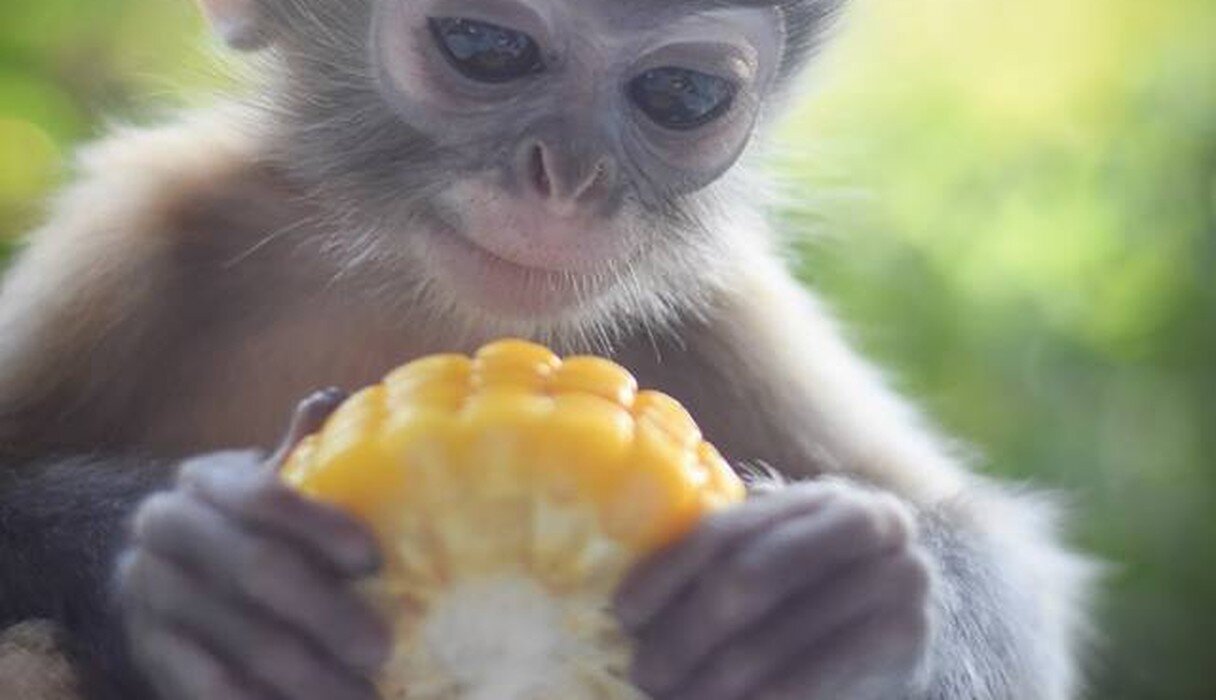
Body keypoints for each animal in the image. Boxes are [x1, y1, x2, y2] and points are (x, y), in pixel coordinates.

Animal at [0, 0, 1094, 698]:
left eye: (682, 93)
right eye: (486, 45)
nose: (566, 180)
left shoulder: (728, 302)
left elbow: (1016, 574)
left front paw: (834, 599)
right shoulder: (144, 216)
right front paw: (205, 572)